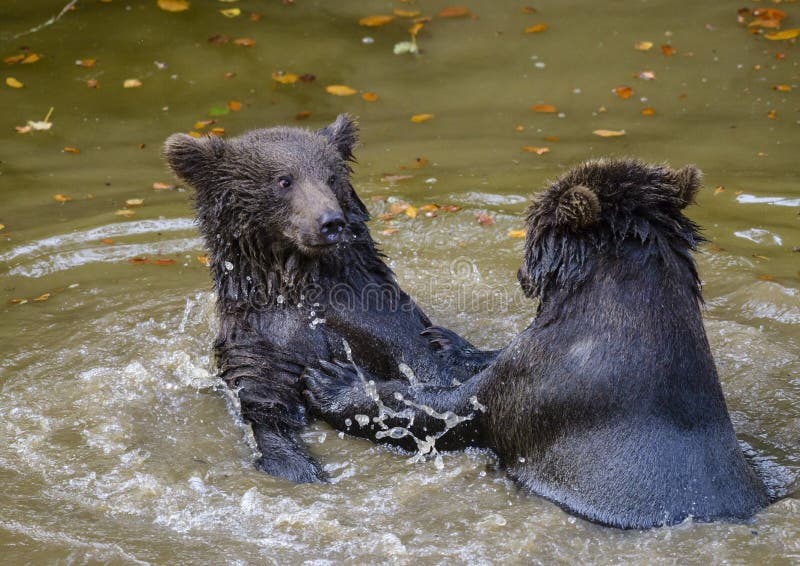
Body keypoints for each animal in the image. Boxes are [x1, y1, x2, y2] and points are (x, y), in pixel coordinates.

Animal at [163, 114, 496, 484]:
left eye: (331, 177)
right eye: (284, 180)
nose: (330, 222)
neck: (298, 282)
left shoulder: (375, 319)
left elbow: (429, 375)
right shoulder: (261, 340)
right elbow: (264, 404)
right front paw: (295, 465)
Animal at [301, 158, 772, 528]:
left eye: (531, 224)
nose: (520, 272)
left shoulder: (536, 385)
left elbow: (444, 412)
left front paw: (336, 381)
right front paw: (446, 340)